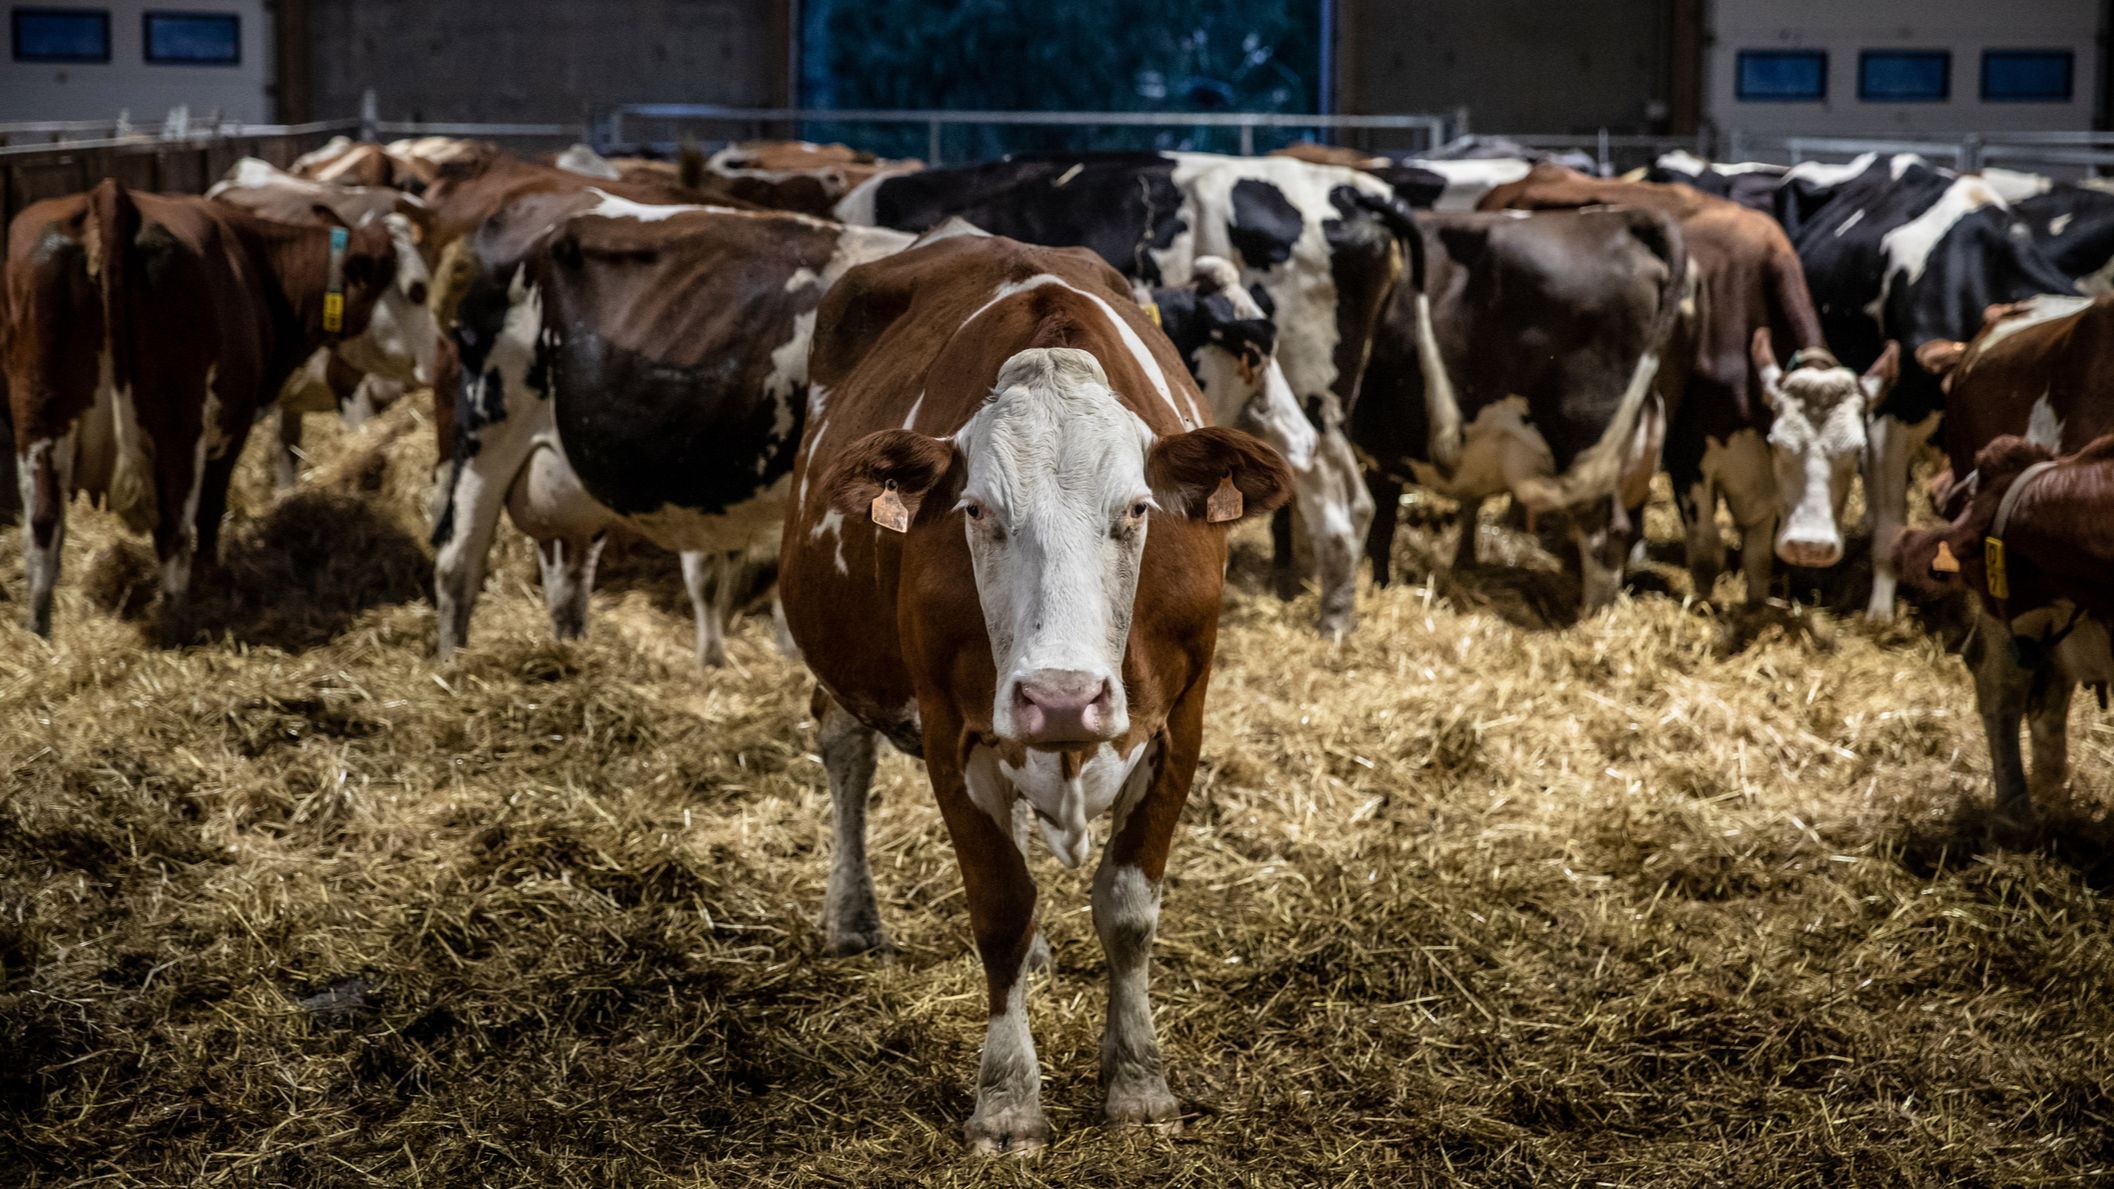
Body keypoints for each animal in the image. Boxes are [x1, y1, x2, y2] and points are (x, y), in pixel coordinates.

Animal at [5, 180, 399, 641]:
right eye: (407, 285)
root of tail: (109, 194)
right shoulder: (232, 424)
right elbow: (211, 509)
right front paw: (212, 579)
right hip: (179, 425)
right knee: (174, 525)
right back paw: (178, 621)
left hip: (39, 419)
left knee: (43, 524)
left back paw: (39, 628)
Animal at [779, 231, 1291, 1152]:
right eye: (977, 509)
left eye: (1136, 509)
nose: (1060, 696)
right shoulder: (950, 729)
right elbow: (1000, 905)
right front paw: (1009, 1099)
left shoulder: (1182, 720)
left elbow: (1128, 906)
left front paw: (1139, 1081)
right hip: (846, 660)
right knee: (843, 749)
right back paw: (854, 916)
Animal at [1481, 165, 1897, 607]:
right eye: (1784, 446)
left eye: (1856, 451)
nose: (1811, 547)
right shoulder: (1688, 449)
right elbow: (1706, 551)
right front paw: (1700, 606)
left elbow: (1757, 556)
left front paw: (1753, 607)